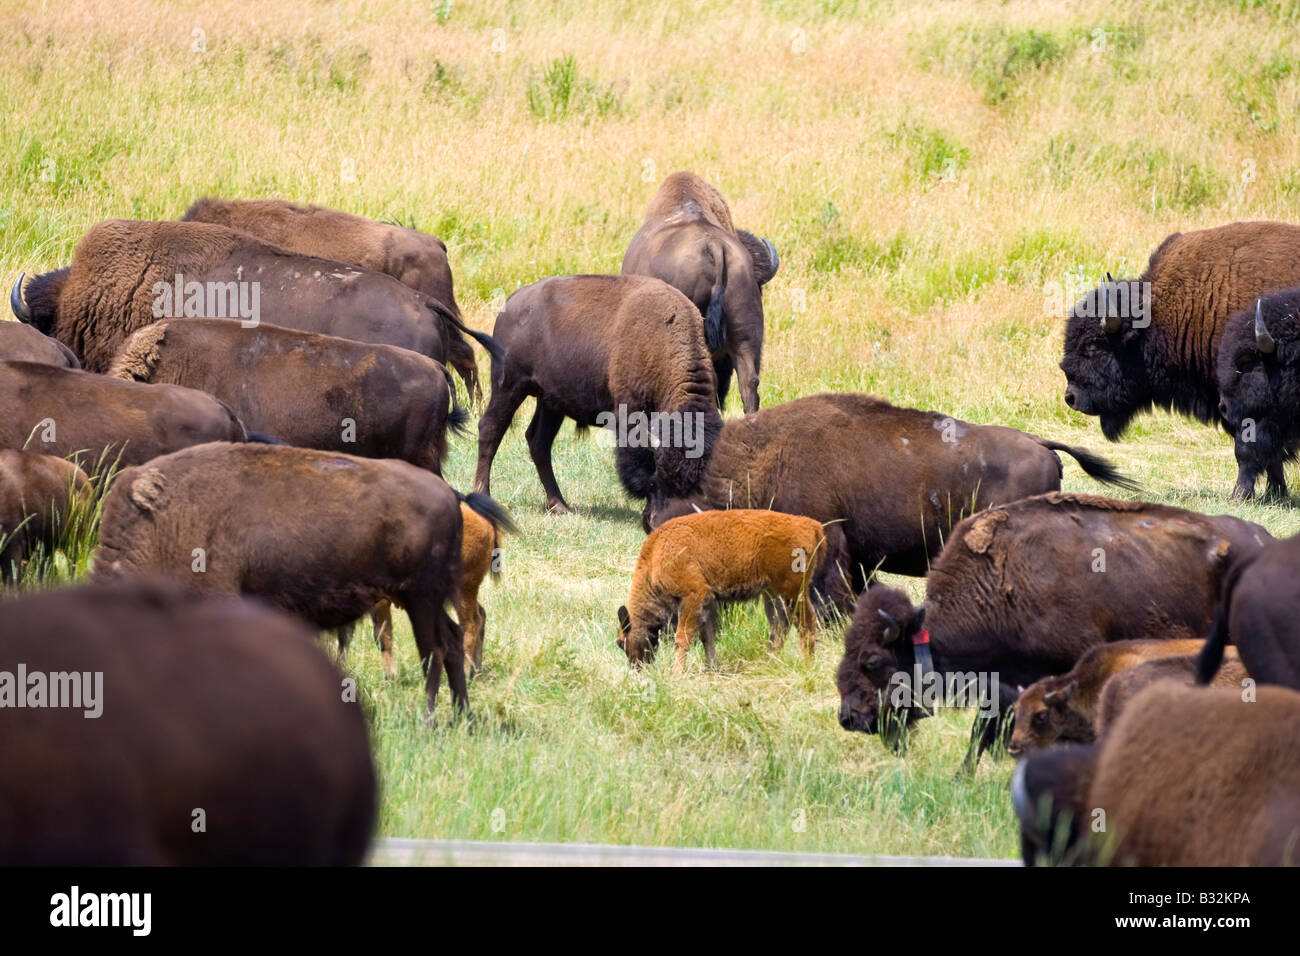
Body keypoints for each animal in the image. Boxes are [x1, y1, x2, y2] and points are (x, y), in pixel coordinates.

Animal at [91, 443, 512, 718]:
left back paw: (429, 722)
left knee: (435, 651)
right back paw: (463, 718)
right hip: (427, 599)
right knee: (453, 641)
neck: (160, 527)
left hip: (421, 599)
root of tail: (451, 496)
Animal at [474, 274, 722, 514]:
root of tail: (512, 302)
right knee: (490, 429)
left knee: (539, 443)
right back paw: (483, 494)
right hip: (509, 386)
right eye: (666, 475)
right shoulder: (630, 414)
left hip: (550, 402)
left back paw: (559, 506)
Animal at [1060, 221, 1300, 497]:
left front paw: (1240, 495)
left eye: (1094, 345)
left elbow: (1248, 450)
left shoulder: (1248, 405)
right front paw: (1275, 493)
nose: (1071, 397)